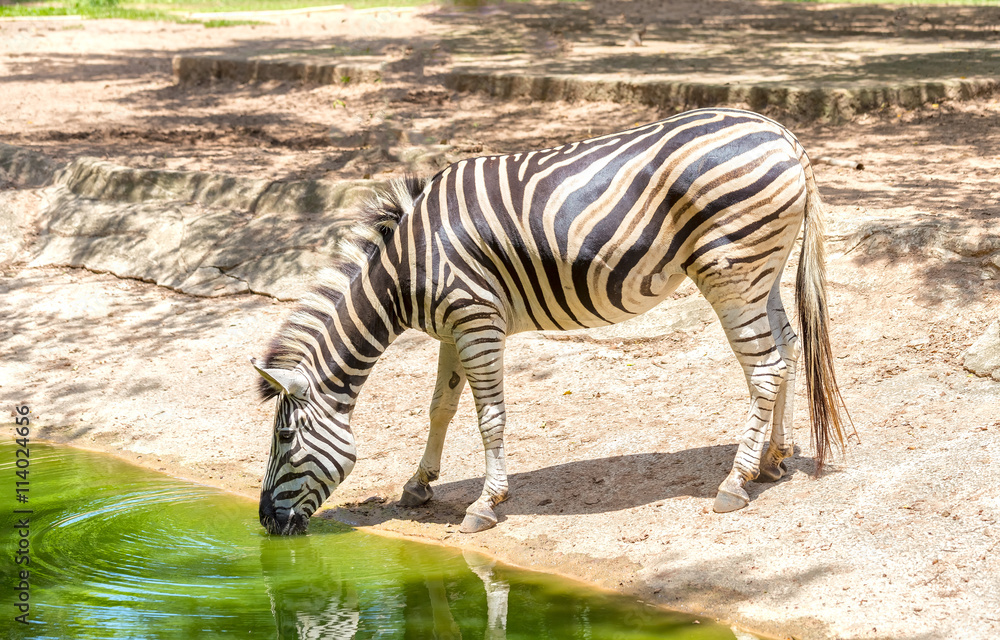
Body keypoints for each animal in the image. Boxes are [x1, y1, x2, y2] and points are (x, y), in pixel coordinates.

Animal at [252, 107, 849, 536]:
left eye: (284, 437)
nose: (264, 523)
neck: (406, 269)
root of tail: (782, 134)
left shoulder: (477, 320)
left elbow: (489, 418)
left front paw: (485, 505)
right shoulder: (453, 327)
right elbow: (441, 406)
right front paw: (419, 484)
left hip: (730, 270)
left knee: (765, 367)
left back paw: (735, 481)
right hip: (762, 270)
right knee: (786, 349)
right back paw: (772, 459)